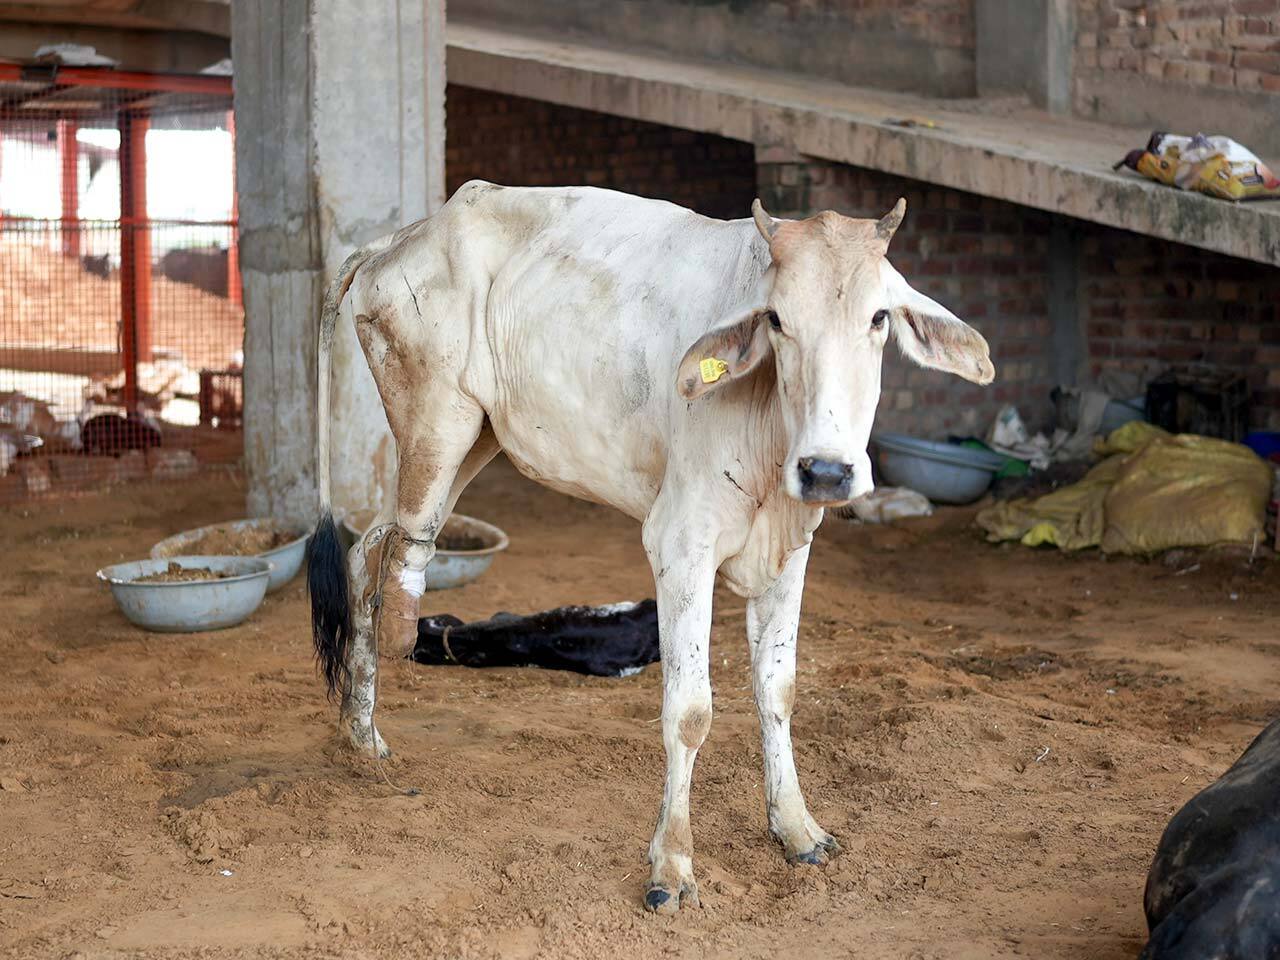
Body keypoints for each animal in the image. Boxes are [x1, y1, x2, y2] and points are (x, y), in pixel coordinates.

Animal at [307, 182, 994, 913]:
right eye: (777, 320)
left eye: (878, 318)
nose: (827, 471)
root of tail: (405, 237)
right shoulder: (680, 543)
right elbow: (690, 711)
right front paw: (672, 866)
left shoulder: (790, 552)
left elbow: (777, 690)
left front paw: (796, 828)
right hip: (437, 426)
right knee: (393, 553)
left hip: (474, 443)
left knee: (367, 554)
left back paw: (362, 735)